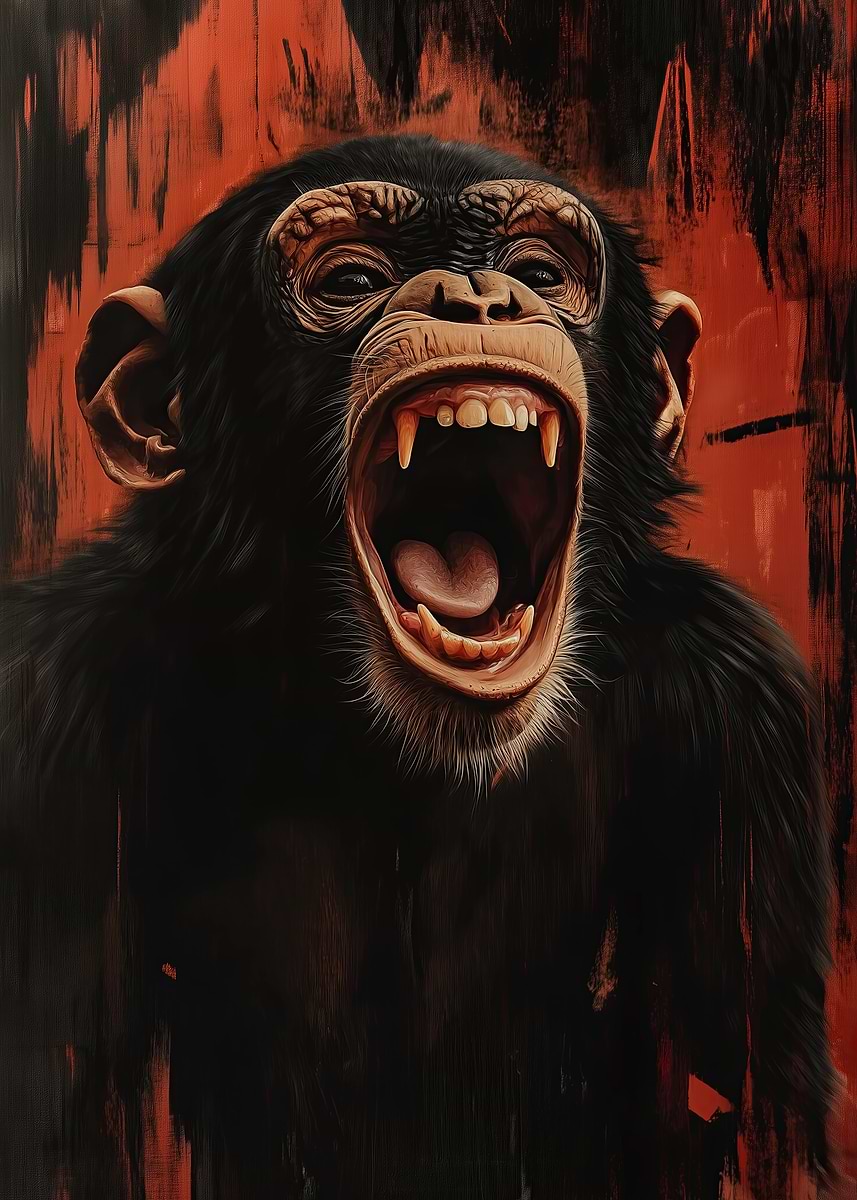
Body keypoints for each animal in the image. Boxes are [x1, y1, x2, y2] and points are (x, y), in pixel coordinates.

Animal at [0, 135, 835, 1199]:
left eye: (539, 274)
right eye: (352, 282)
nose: (477, 295)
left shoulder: (741, 702)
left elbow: (755, 1102)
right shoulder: (45, 707)